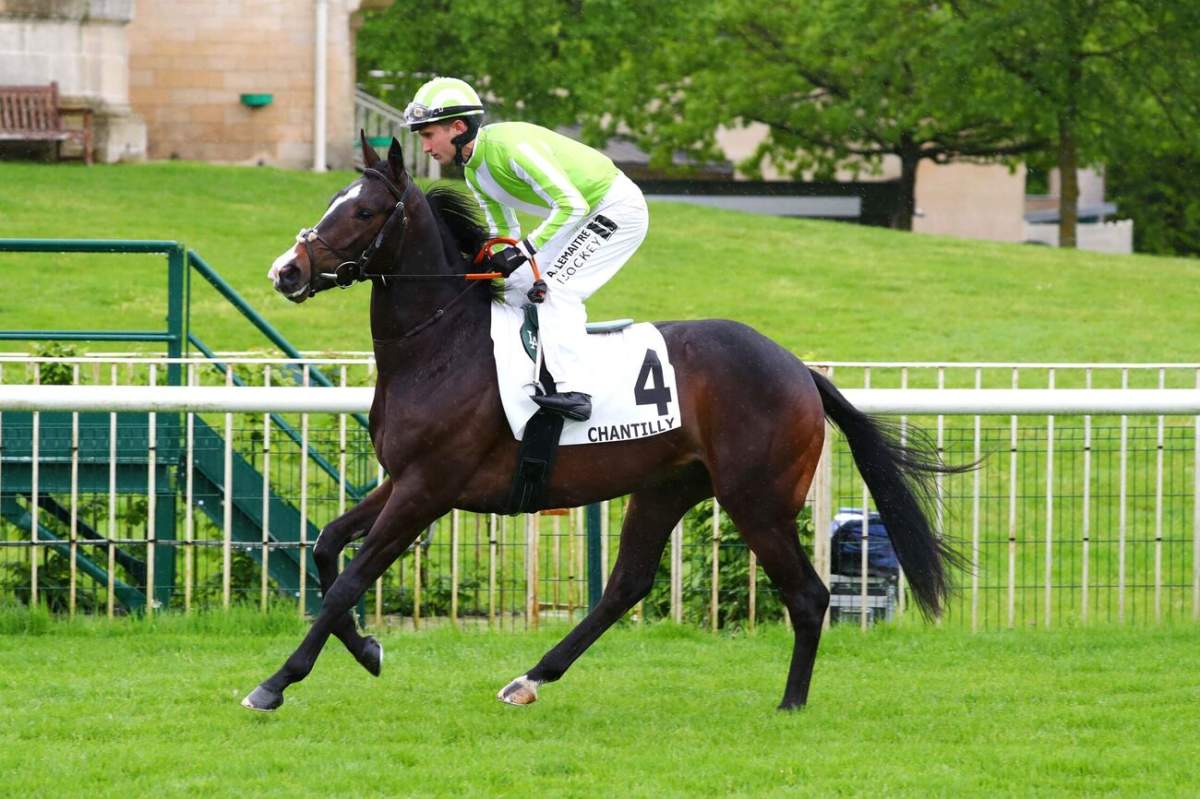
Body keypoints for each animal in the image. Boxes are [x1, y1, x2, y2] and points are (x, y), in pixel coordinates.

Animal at [245, 134, 962, 713]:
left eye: (364, 211)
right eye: (333, 200)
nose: (287, 270)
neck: (440, 344)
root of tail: (798, 368)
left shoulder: (429, 489)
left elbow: (351, 579)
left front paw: (276, 682)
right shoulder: (403, 480)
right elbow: (326, 546)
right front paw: (367, 648)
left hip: (756, 499)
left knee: (808, 597)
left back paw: (790, 702)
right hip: (667, 486)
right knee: (626, 585)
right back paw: (530, 678)